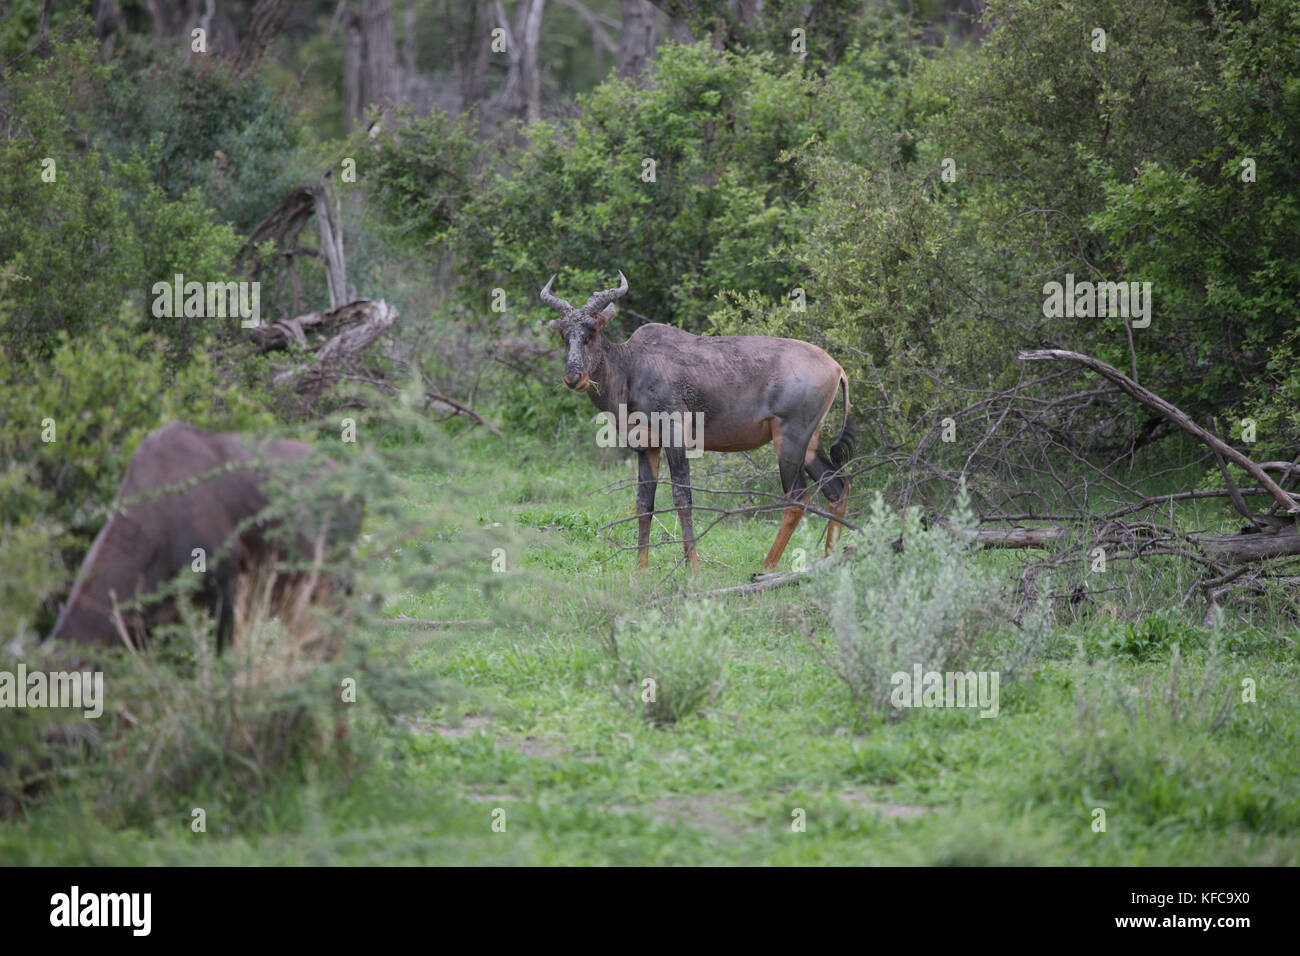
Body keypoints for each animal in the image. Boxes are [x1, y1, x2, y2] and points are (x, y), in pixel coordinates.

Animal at [540, 271, 854, 572]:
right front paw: (640, 572)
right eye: (564, 334)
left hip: (789, 439)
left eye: (593, 330)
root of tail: (837, 367)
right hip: (810, 444)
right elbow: (644, 503)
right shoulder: (646, 447)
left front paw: (693, 570)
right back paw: (829, 560)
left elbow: (682, 498)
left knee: (797, 497)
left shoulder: (675, 436)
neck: (634, 364)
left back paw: (765, 569)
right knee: (837, 488)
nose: (573, 378)